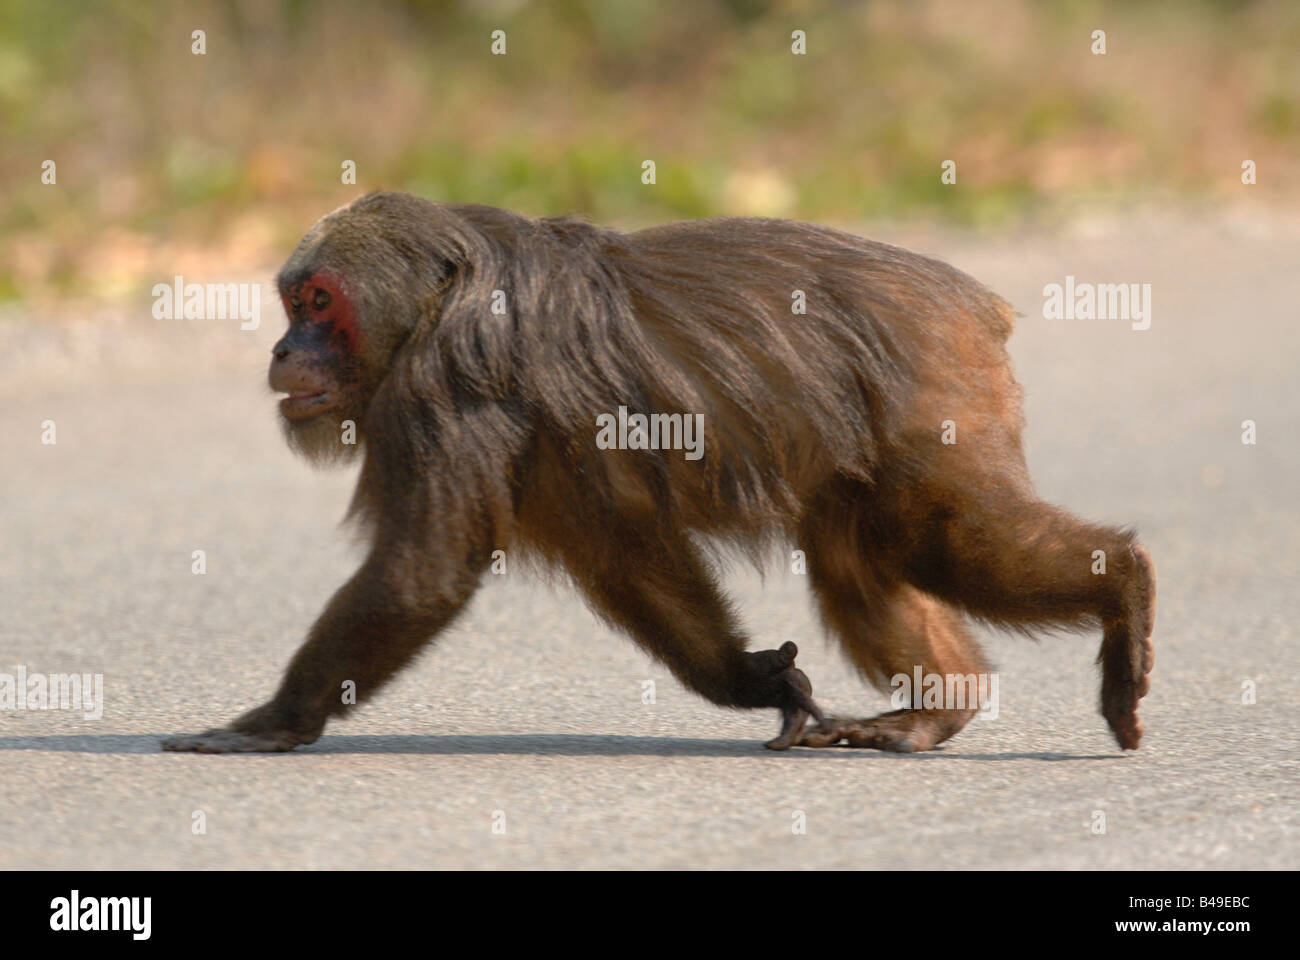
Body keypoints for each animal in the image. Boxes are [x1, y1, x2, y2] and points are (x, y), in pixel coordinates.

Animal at [162, 191, 1155, 755]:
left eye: (318, 304)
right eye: (293, 305)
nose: (285, 349)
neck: (438, 304)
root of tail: (970, 302)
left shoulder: (444, 386)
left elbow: (423, 574)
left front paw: (280, 720)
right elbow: (632, 563)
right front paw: (752, 683)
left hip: (934, 396)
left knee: (936, 535)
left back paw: (1123, 584)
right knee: (856, 551)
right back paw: (940, 710)